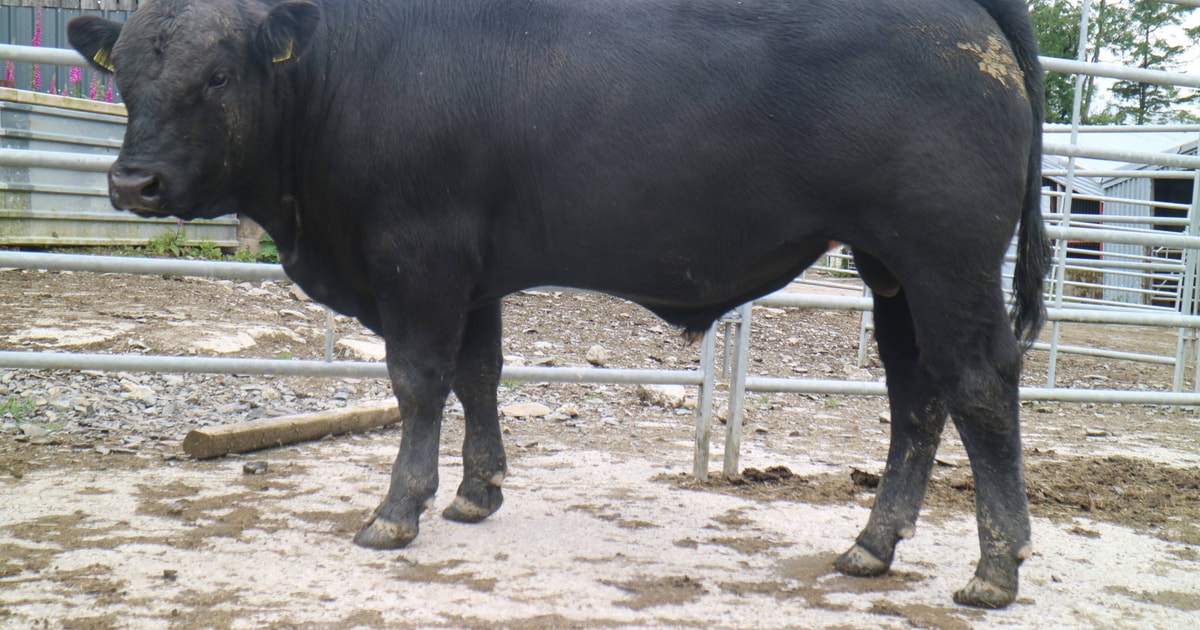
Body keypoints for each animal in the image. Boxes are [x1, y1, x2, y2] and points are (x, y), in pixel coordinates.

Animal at [68, 0, 1048, 608]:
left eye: (219, 76)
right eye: (127, 75)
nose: (132, 182)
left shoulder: (419, 255)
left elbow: (419, 381)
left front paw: (397, 510)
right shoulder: (473, 272)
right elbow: (479, 375)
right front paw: (476, 492)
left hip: (944, 257)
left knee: (978, 383)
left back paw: (996, 566)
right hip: (891, 270)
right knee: (915, 395)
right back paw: (873, 544)